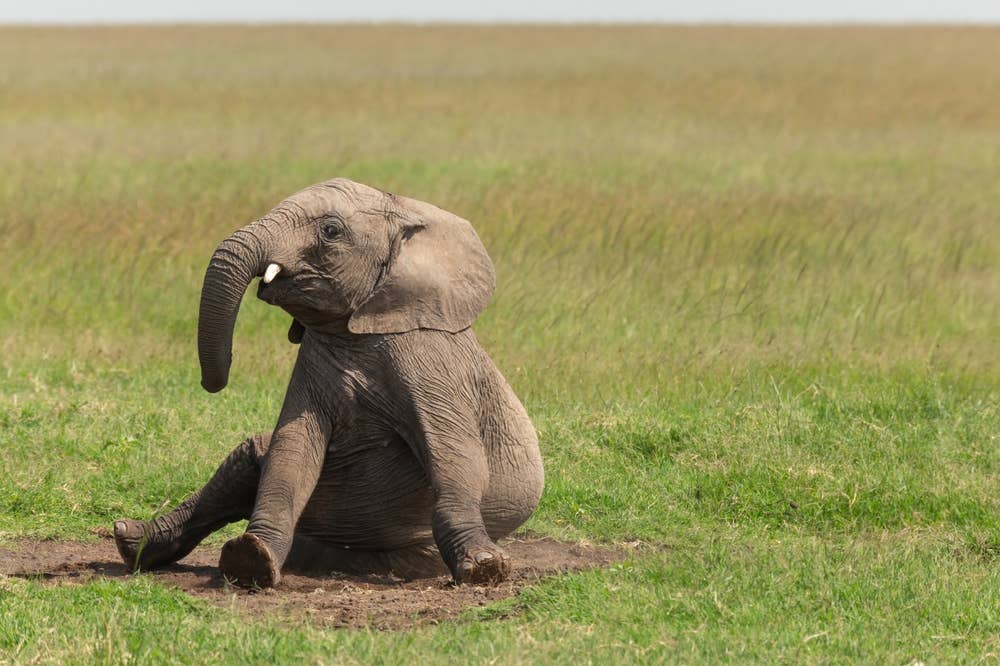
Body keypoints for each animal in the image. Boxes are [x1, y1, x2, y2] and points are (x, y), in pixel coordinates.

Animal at [112, 178, 543, 587]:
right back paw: (131, 540)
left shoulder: (428, 358)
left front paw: (484, 568)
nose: (213, 382)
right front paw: (252, 561)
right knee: (250, 458)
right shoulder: (314, 360)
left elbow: (454, 451)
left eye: (331, 231)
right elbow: (293, 449)